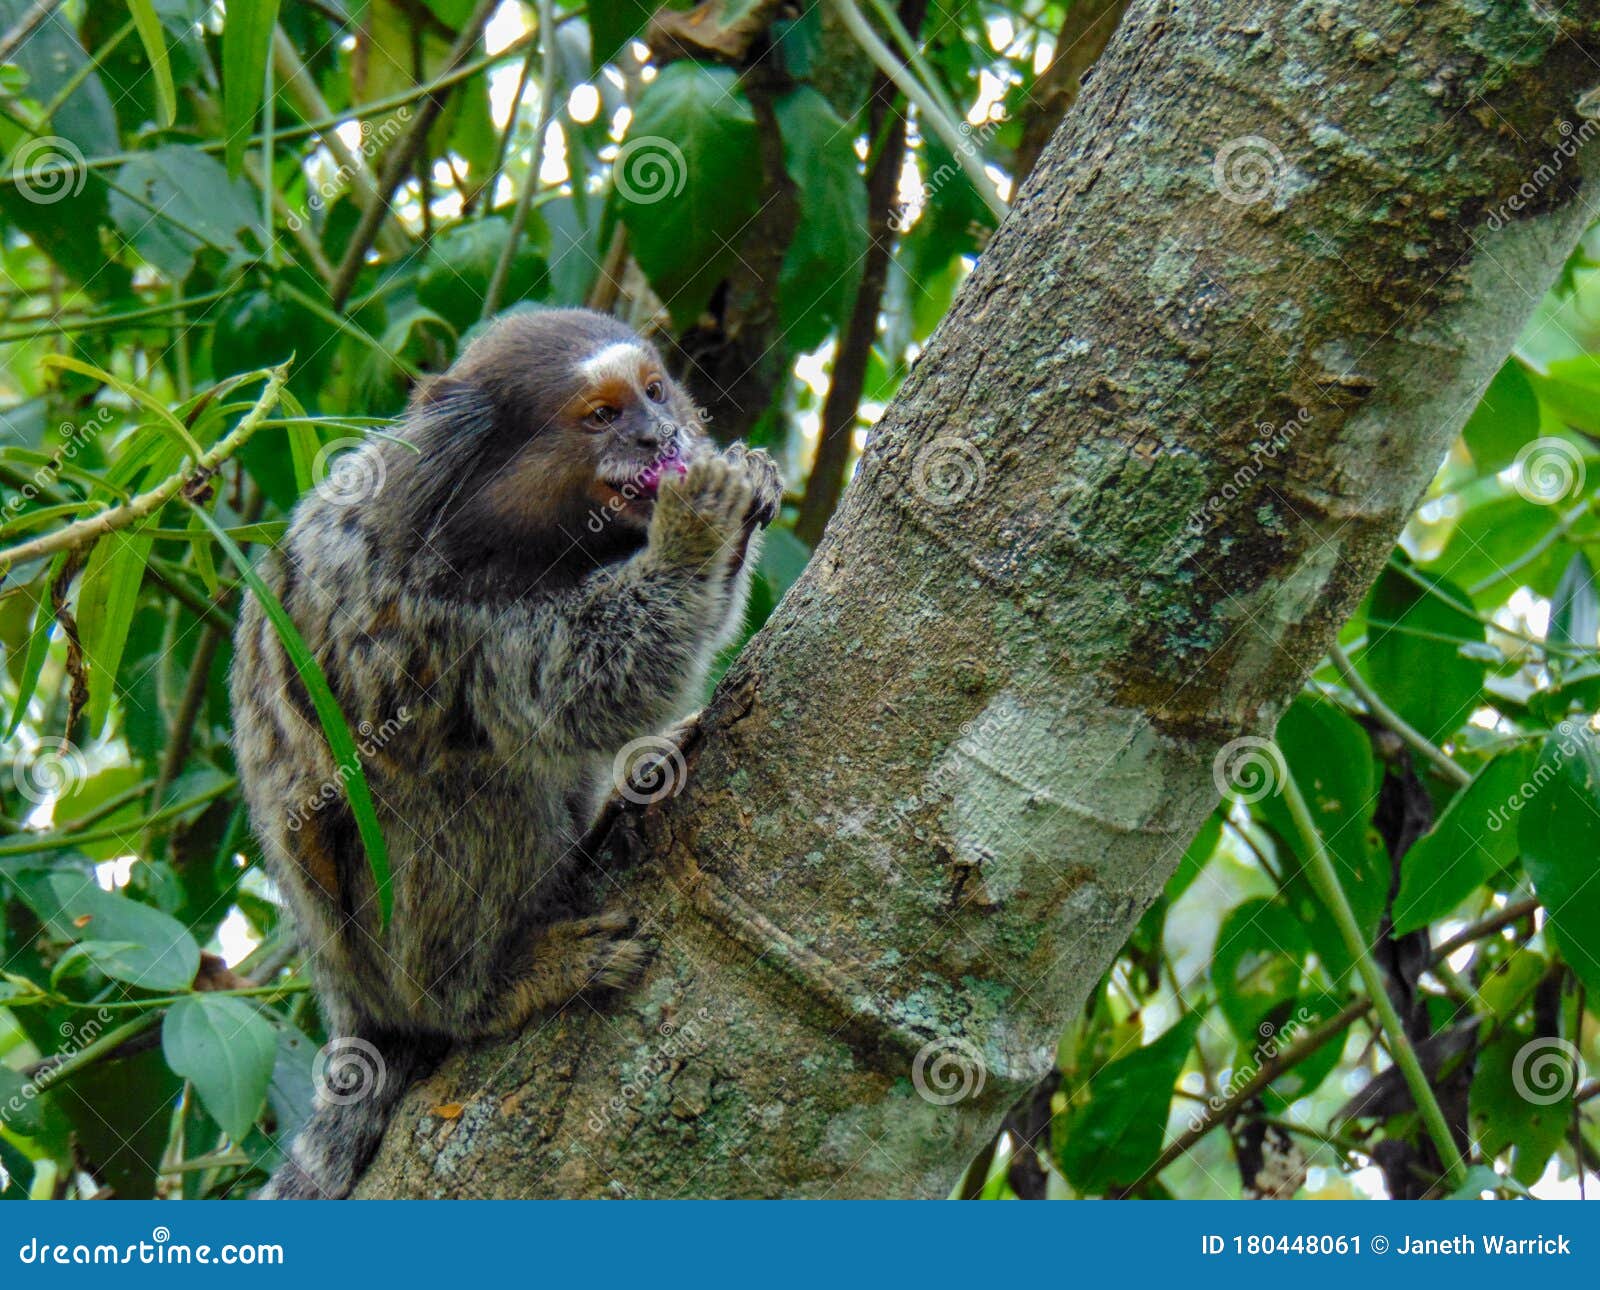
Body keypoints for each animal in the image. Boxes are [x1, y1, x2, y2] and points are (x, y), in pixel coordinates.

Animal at [229, 307, 782, 1199]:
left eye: (655, 393)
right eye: (602, 416)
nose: (661, 435)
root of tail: (348, 994)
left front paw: (749, 479)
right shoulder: (425, 609)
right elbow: (579, 684)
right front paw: (700, 525)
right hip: (383, 943)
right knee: (466, 790)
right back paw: (489, 988)